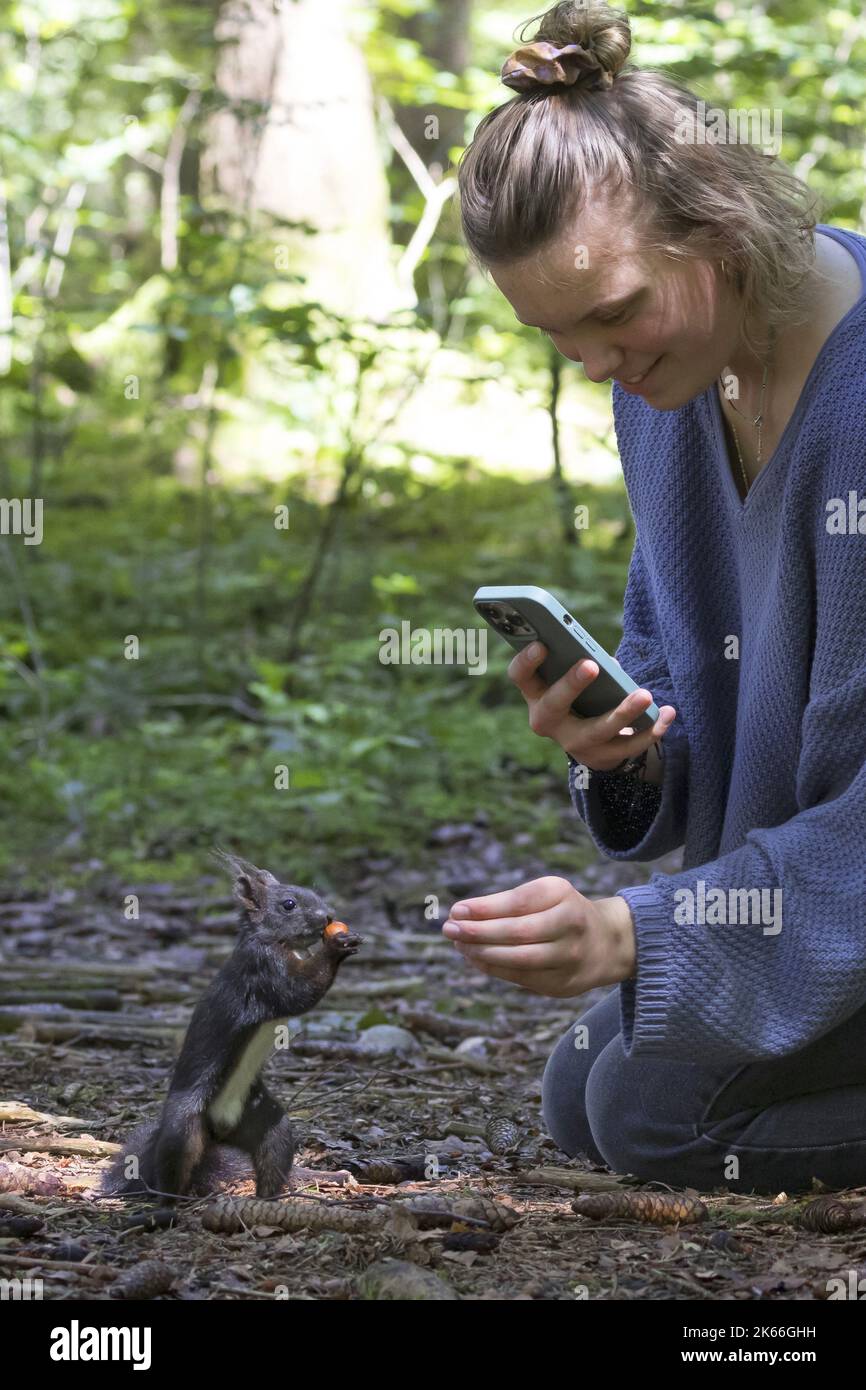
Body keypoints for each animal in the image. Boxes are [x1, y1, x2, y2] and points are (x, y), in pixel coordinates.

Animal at [101, 850, 361, 1203]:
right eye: (288, 904)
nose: (328, 916)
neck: (278, 942)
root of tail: (219, 1134)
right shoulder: (262, 969)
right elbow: (297, 994)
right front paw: (336, 947)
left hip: (261, 1120)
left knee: (274, 1148)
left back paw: (270, 1198)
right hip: (184, 1126)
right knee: (172, 1164)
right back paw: (171, 1201)